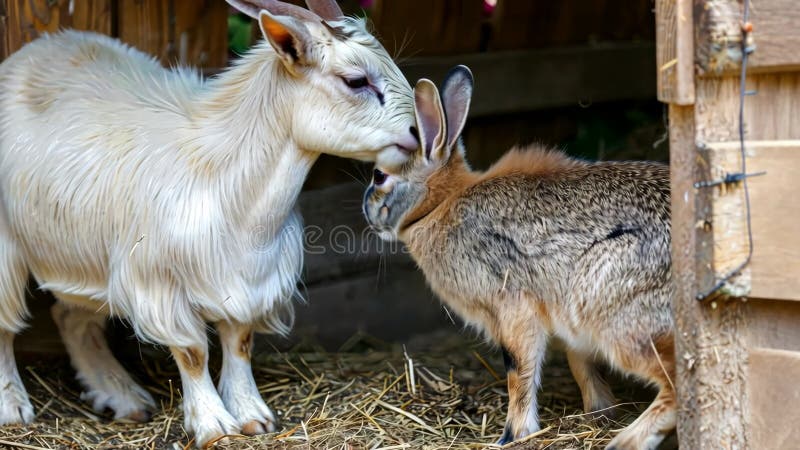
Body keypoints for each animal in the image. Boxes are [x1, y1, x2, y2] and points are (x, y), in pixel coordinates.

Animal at [0, 0, 417, 446]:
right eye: (356, 81)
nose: (421, 132)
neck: (223, 178)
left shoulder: (252, 278)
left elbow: (240, 343)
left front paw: (253, 416)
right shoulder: (158, 282)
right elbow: (193, 352)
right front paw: (213, 424)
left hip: (83, 256)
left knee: (71, 319)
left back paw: (121, 395)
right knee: (6, 325)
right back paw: (14, 406)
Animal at [362, 66, 675, 450]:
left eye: (379, 175)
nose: (366, 210)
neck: (440, 204)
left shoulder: (512, 307)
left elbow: (517, 371)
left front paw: (513, 435)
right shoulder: (566, 327)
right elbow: (580, 366)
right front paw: (598, 413)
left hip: (614, 311)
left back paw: (626, 441)